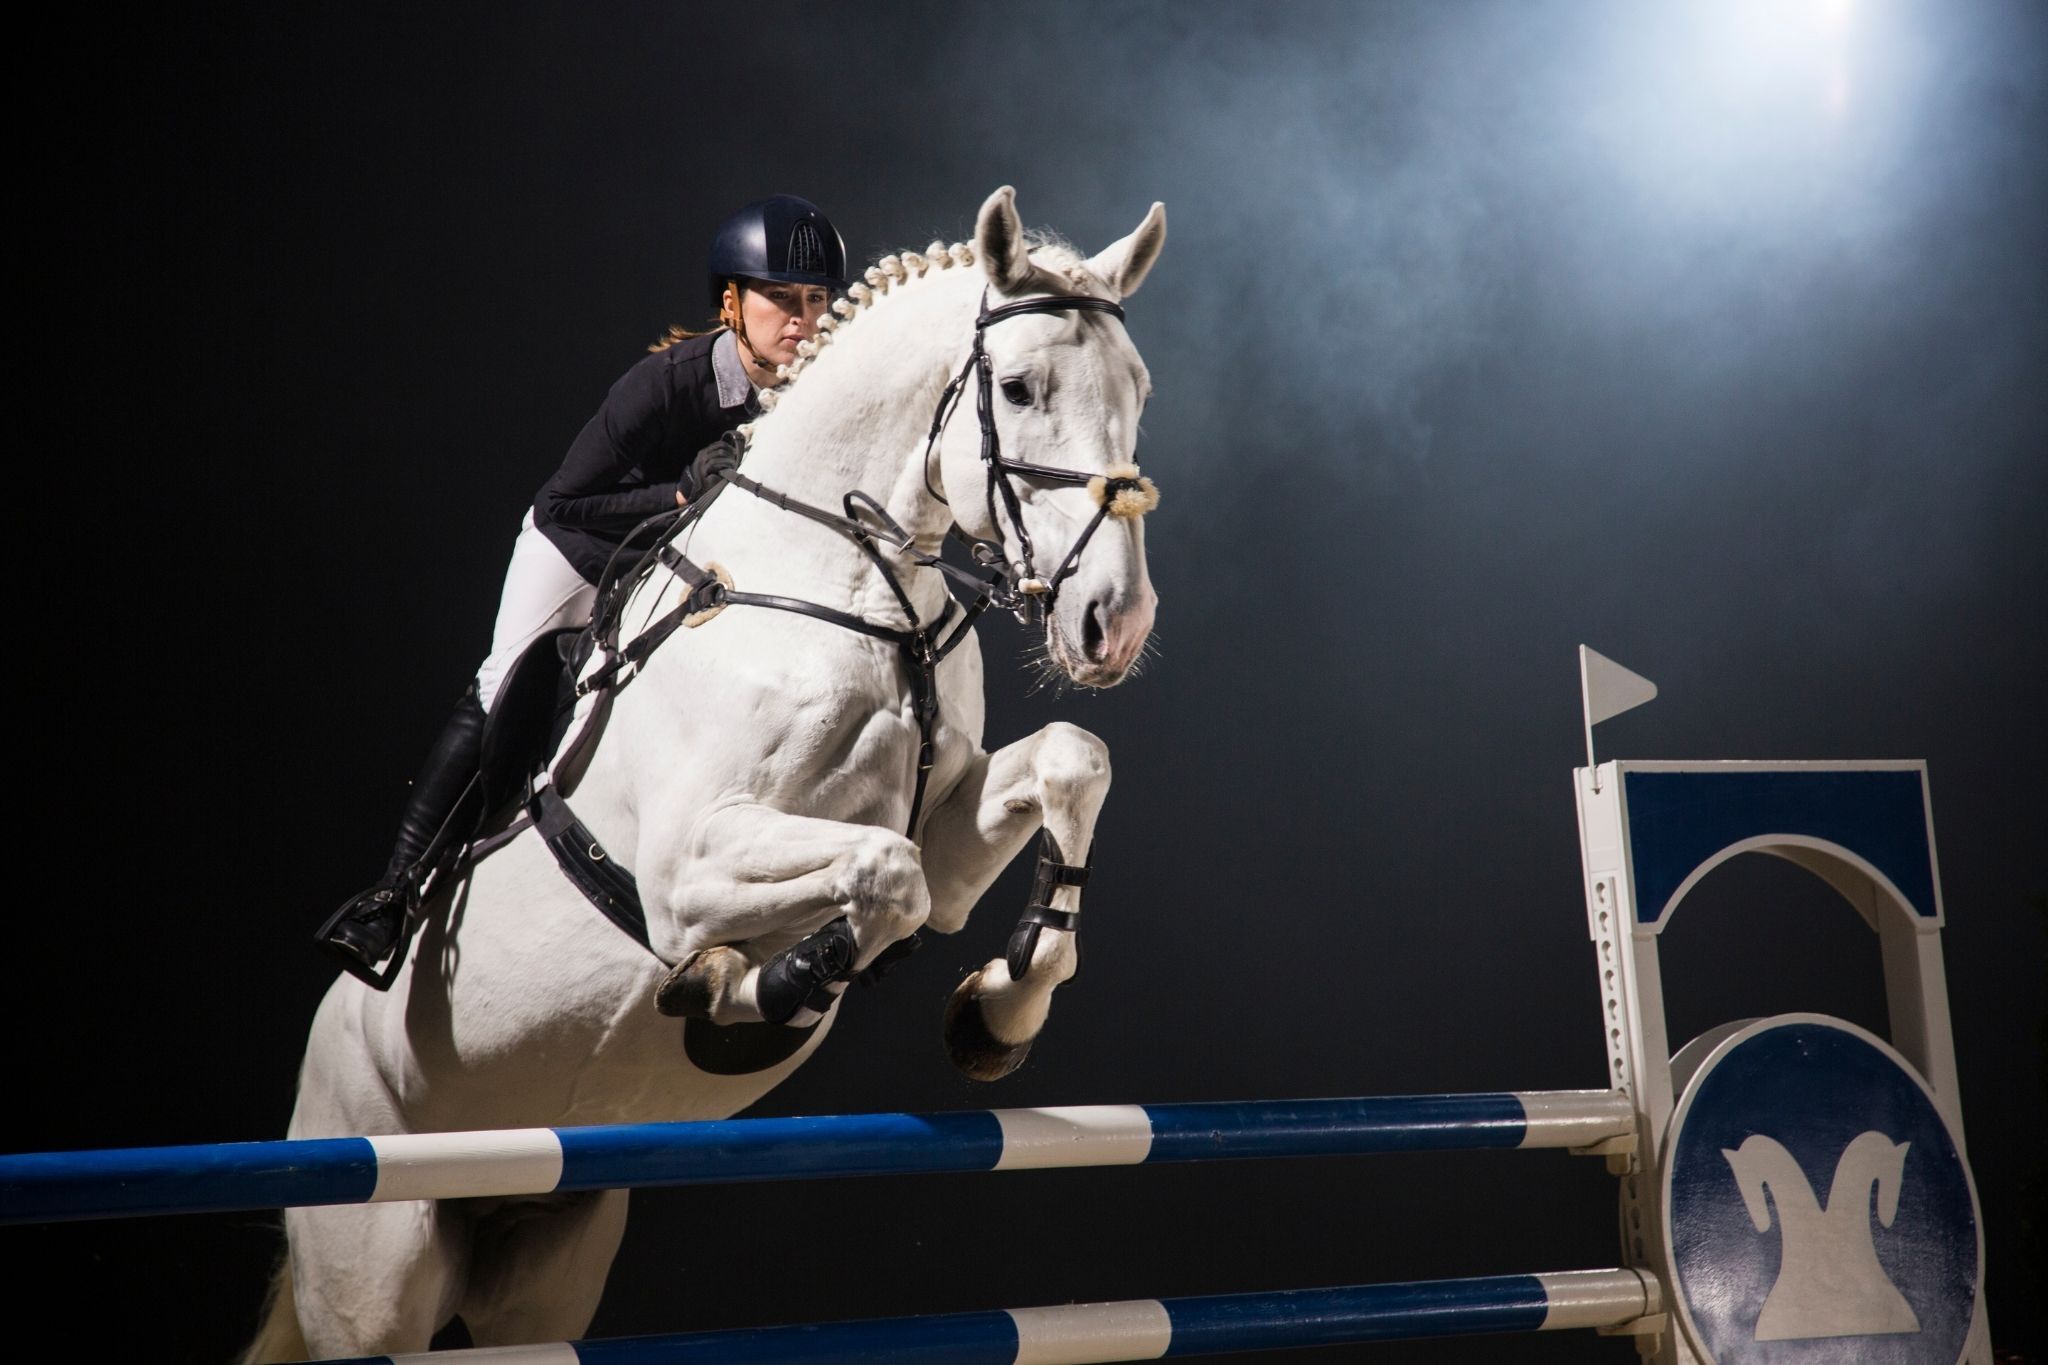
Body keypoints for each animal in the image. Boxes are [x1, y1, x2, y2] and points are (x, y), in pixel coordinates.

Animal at [246, 186, 1167, 1359]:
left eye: (1137, 391)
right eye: (1017, 389)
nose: (1114, 624)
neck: (852, 582)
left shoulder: (951, 831)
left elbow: (1065, 766)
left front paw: (997, 1010)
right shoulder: (686, 871)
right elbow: (884, 873)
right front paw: (753, 988)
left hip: (543, 1254)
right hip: (374, 1253)